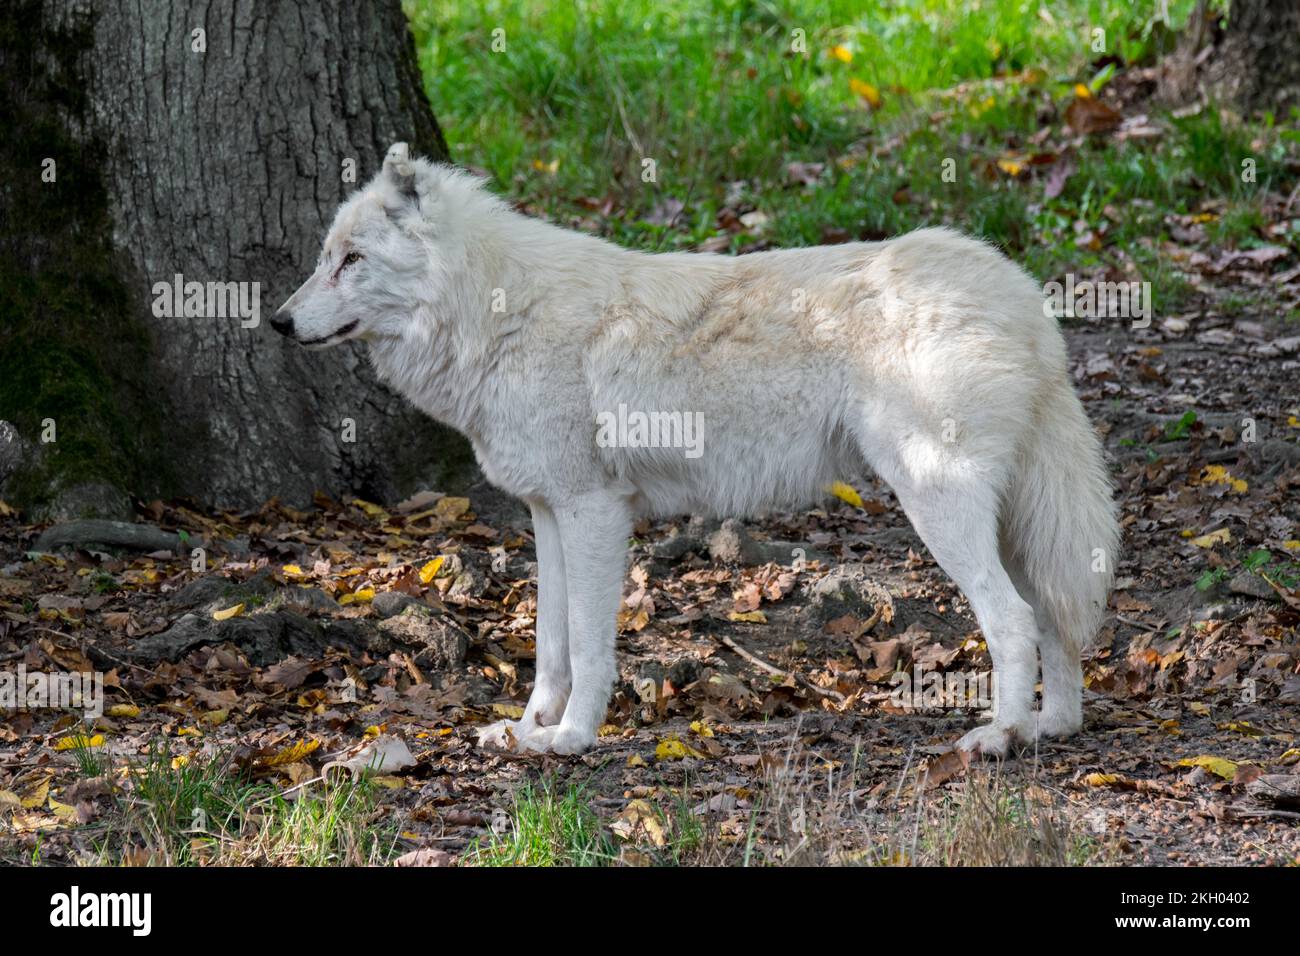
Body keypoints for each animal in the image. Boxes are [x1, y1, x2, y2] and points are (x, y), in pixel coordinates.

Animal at [274, 143, 1118, 757]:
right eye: (322, 257)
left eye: (352, 260)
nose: (278, 322)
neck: (495, 312)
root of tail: (1022, 296)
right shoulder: (548, 512)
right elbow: (549, 644)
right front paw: (527, 730)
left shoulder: (594, 512)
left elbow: (588, 644)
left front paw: (572, 739)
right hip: (1007, 521)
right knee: (1053, 612)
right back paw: (1053, 725)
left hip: (937, 503)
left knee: (1012, 619)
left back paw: (1000, 737)